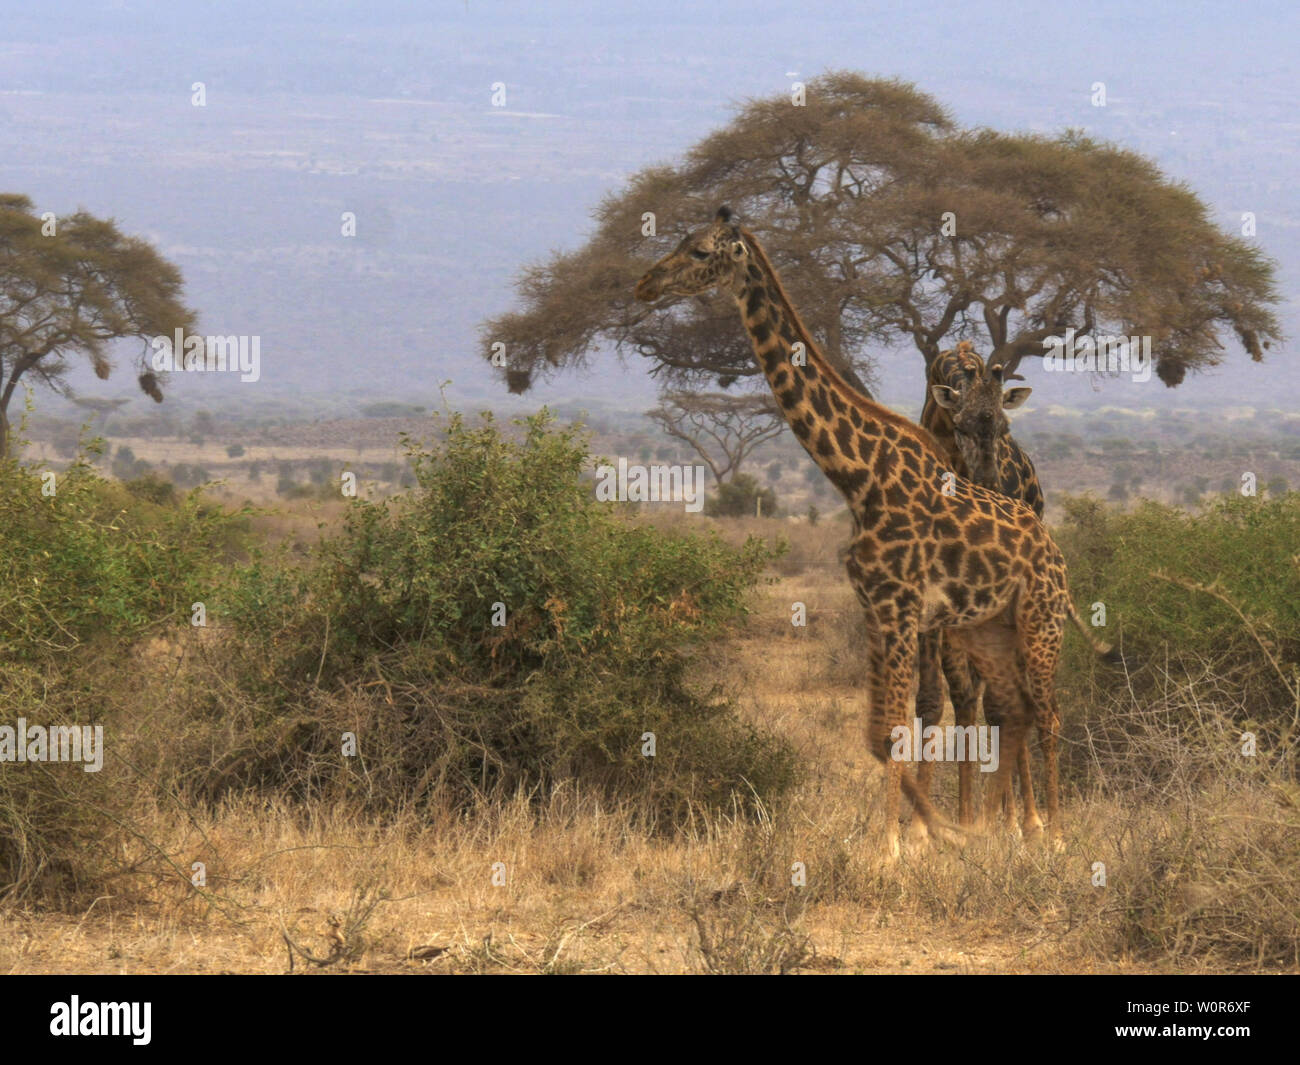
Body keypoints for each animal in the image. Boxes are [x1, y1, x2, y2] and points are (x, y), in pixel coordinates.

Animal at [635, 208, 1078, 858]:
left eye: (698, 251)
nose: (645, 285)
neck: (857, 472)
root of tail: (1053, 547)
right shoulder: (875, 605)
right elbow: (881, 729)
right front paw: (919, 833)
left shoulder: (899, 604)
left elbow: (895, 725)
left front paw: (895, 847)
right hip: (989, 627)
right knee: (1011, 708)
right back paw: (995, 828)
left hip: (1040, 620)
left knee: (1048, 714)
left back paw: (1051, 834)